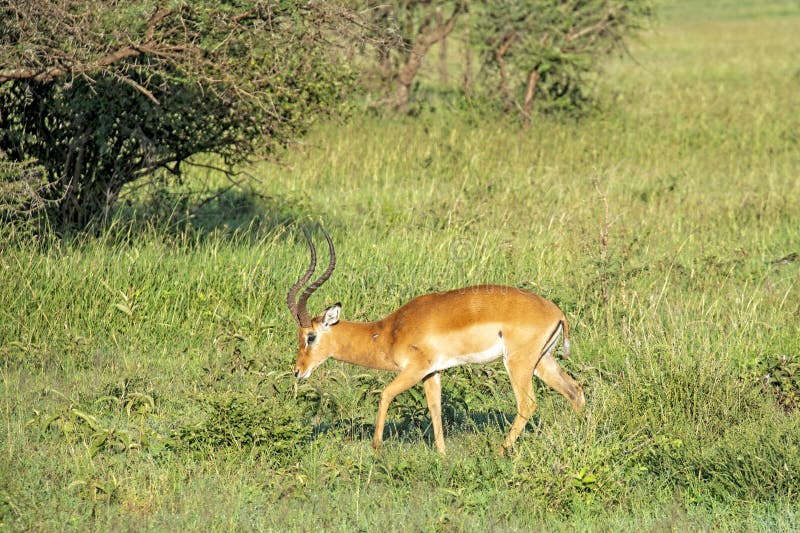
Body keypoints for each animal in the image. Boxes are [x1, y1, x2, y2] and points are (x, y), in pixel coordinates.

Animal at [286, 230, 585, 455]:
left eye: (310, 336)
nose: (298, 371)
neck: (390, 331)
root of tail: (556, 312)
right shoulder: (433, 373)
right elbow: (435, 409)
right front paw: (442, 454)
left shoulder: (416, 369)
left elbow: (385, 394)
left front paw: (376, 447)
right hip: (542, 362)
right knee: (575, 391)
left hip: (518, 364)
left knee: (528, 404)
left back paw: (500, 451)